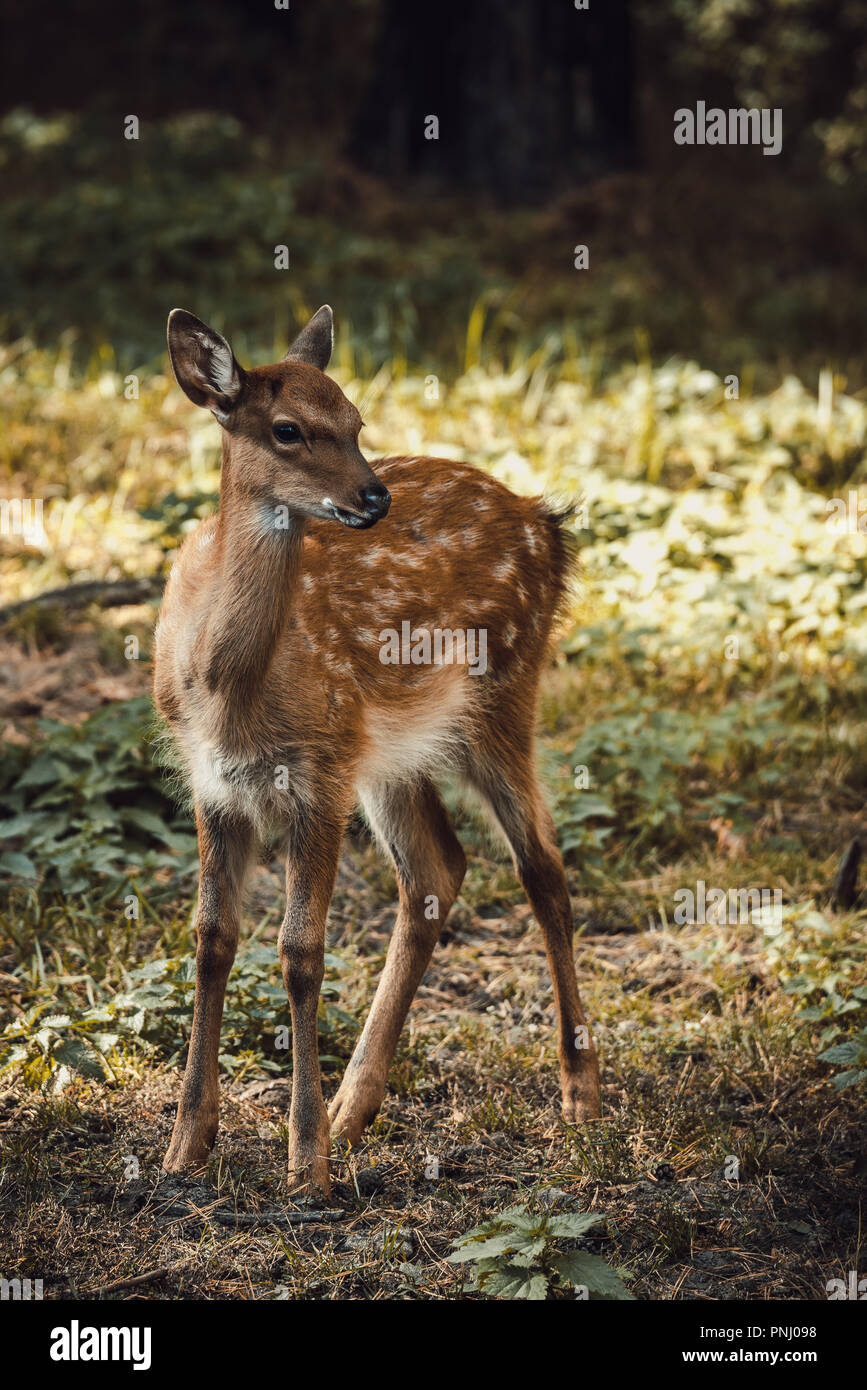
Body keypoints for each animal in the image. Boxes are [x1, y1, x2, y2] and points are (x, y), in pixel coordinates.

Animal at [153, 305, 601, 1196]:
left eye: (357, 422)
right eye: (287, 429)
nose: (372, 496)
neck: (229, 691)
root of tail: (544, 523)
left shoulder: (319, 773)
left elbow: (299, 951)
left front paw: (304, 1166)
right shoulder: (214, 786)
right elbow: (211, 940)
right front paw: (186, 1147)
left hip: (502, 690)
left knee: (540, 864)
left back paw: (580, 1093)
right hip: (393, 752)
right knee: (437, 867)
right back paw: (353, 1109)